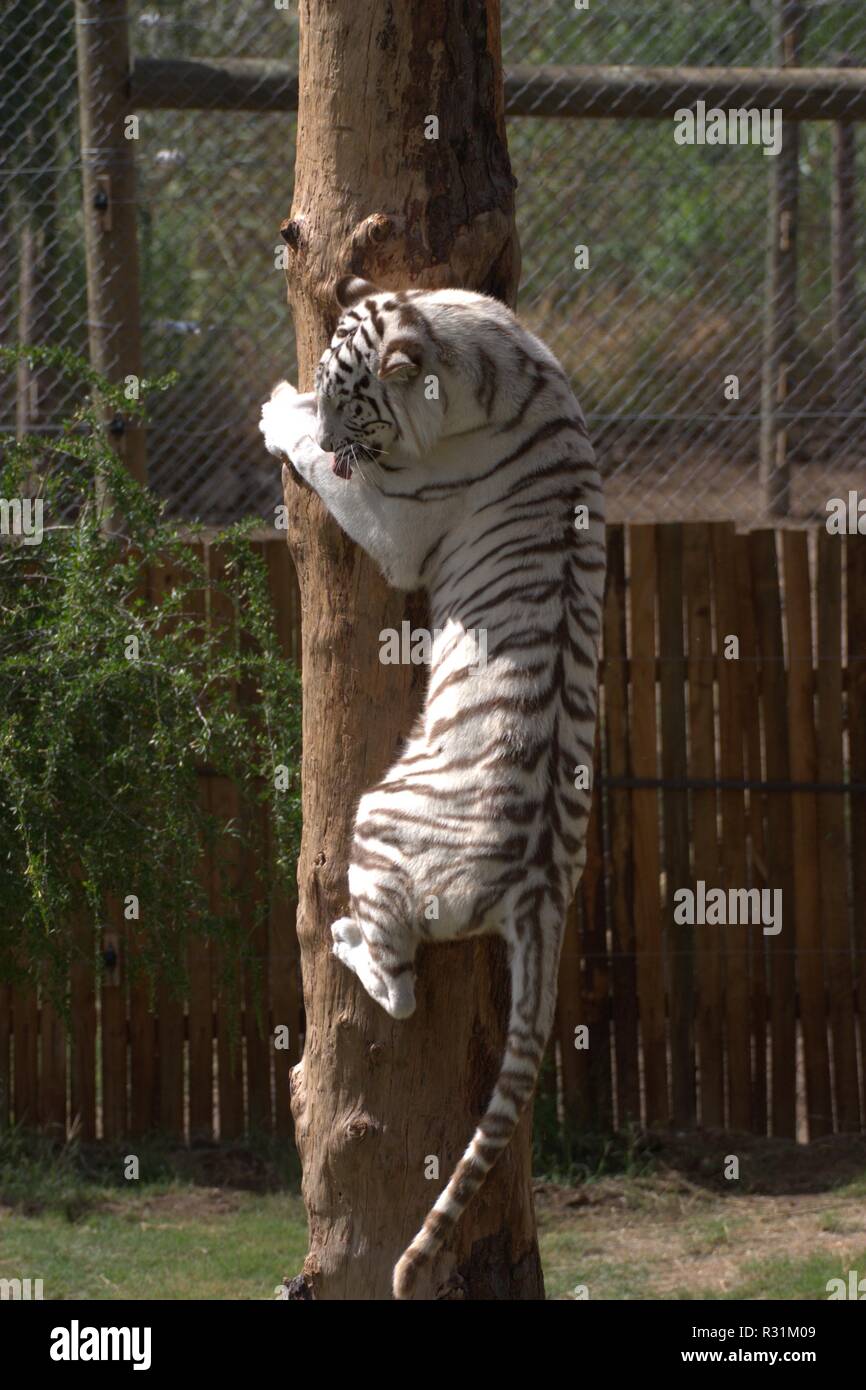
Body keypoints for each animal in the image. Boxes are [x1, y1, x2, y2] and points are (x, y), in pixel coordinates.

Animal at [260, 275, 605, 1300]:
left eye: (357, 403)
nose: (335, 433)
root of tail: (541, 888)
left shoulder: (398, 519)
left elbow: (334, 480)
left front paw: (278, 414)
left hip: (377, 818)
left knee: (400, 983)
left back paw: (343, 942)